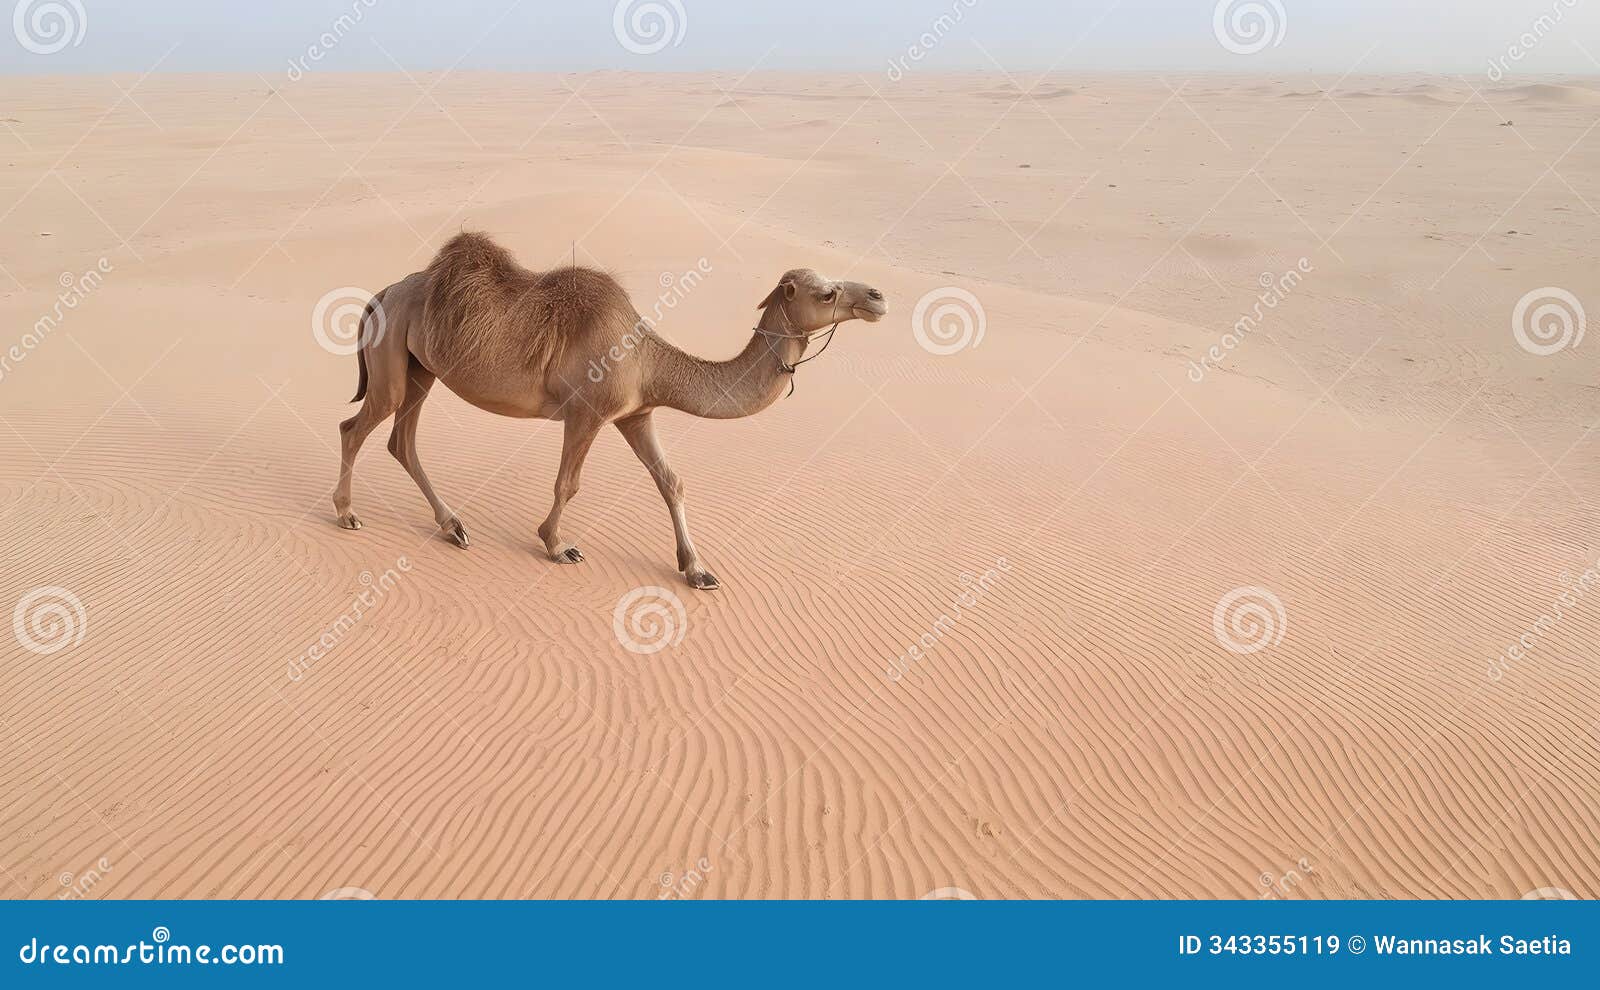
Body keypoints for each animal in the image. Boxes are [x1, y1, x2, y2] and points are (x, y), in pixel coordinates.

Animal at [333, 232, 888, 590]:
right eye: (826, 293)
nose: (878, 295)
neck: (648, 360)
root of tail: (383, 293)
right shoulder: (588, 412)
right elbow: (568, 484)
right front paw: (556, 545)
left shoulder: (634, 414)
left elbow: (671, 480)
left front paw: (697, 570)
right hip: (390, 360)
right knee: (353, 427)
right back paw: (347, 514)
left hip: (421, 370)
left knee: (401, 440)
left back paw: (454, 527)